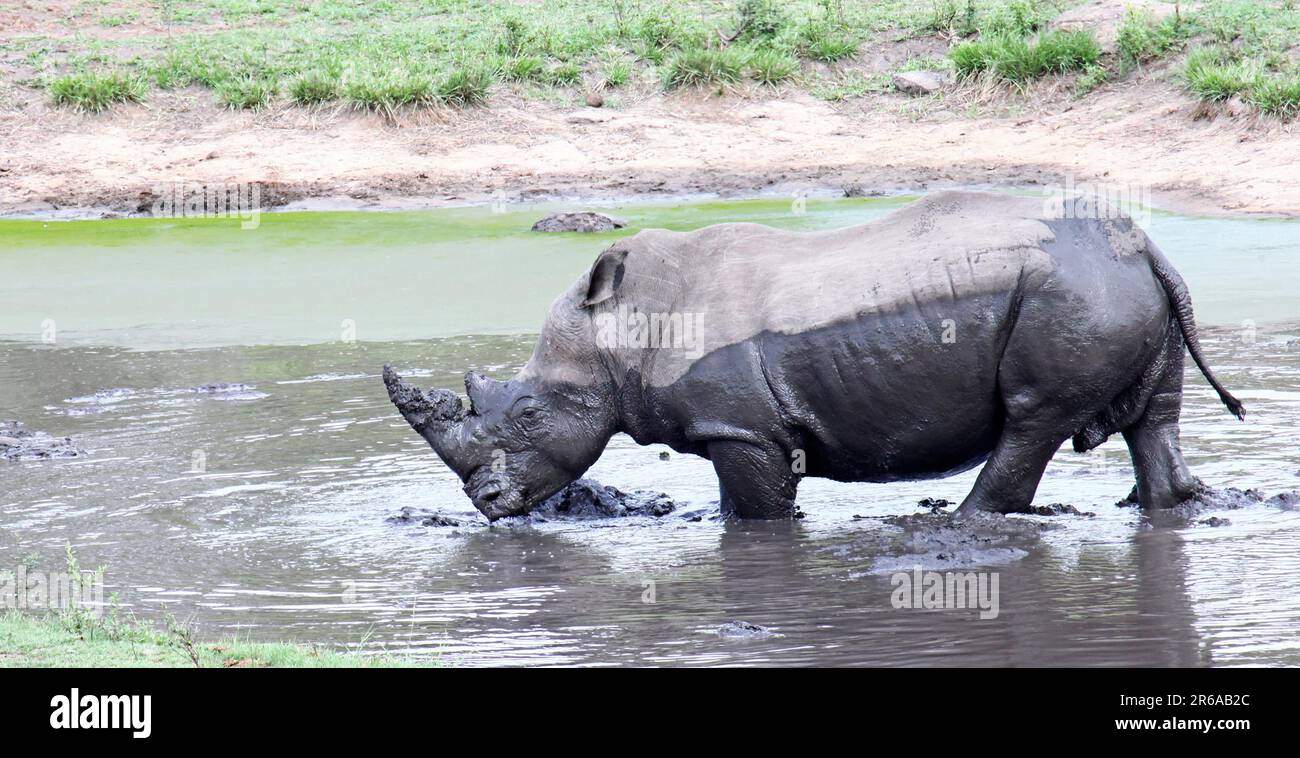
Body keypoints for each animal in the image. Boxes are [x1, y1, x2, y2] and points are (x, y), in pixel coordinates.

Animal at [384, 191, 1244, 521]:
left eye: (528, 410)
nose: (484, 504)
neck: (624, 332)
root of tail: (1143, 244)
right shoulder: (746, 427)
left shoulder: (742, 429)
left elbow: (755, 516)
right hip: (1114, 289)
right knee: (1151, 417)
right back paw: (1168, 504)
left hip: (1069, 297)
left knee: (1033, 418)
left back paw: (957, 524)